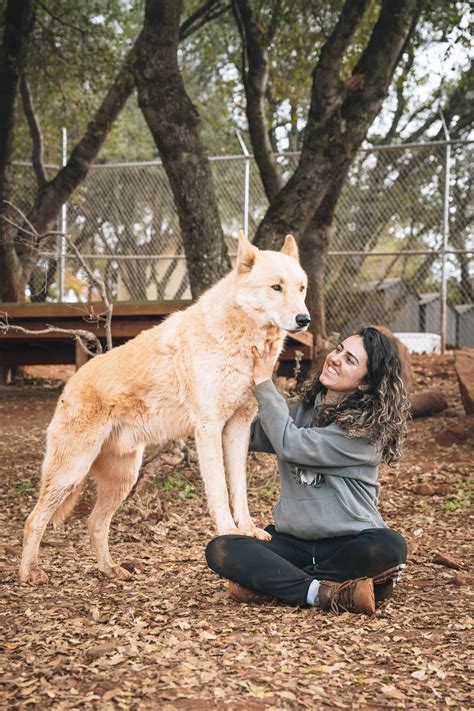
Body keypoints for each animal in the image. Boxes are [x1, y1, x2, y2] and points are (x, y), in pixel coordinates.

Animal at [19, 232, 310, 584]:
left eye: (301, 288)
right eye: (276, 287)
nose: (304, 319)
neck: (238, 340)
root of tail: (69, 385)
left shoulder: (239, 427)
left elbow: (239, 488)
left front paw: (249, 530)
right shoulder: (208, 428)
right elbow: (218, 489)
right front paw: (228, 531)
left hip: (123, 479)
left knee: (94, 523)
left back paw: (110, 570)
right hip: (71, 474)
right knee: (34, 520)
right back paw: (29, 573)